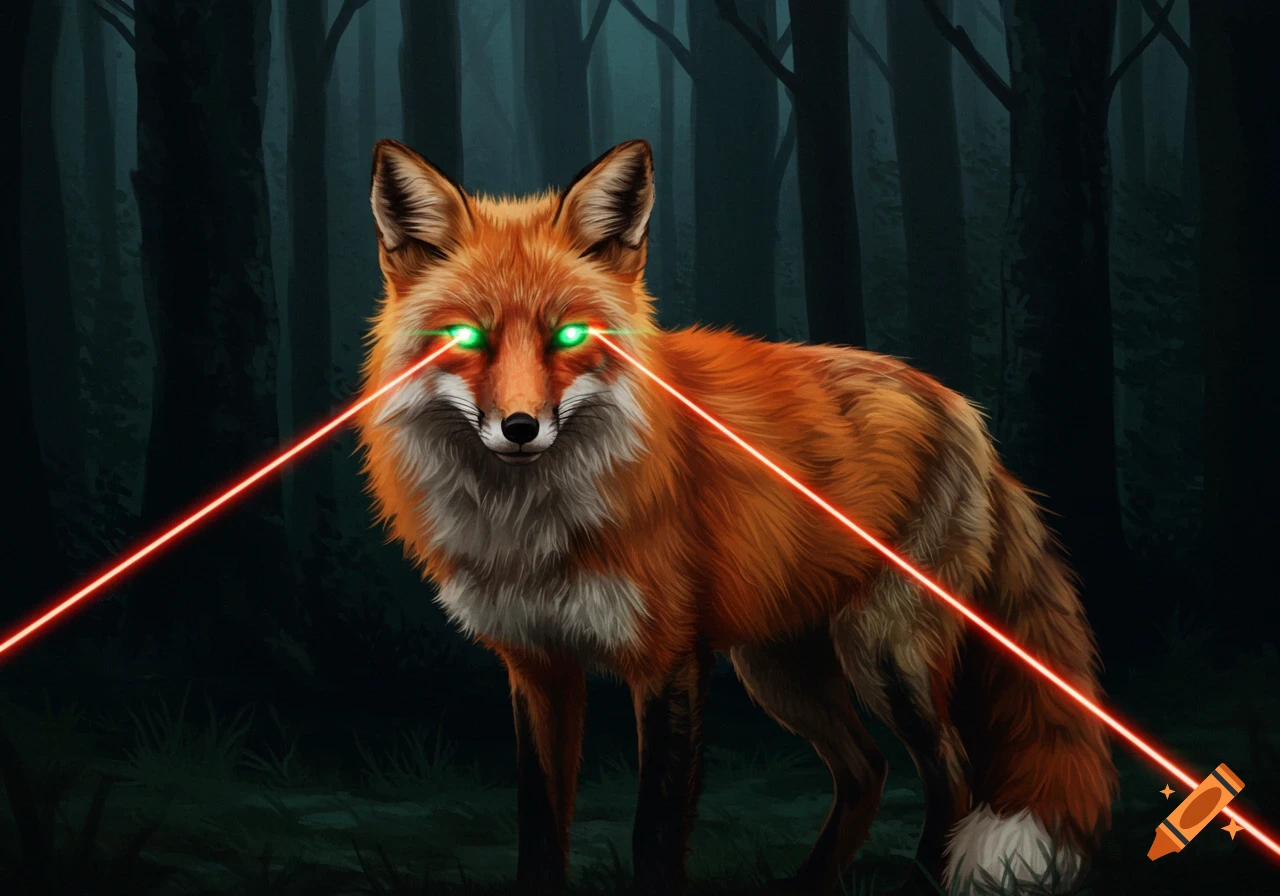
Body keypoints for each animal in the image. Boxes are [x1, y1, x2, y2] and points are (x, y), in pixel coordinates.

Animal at [355, 138, 1118, 895]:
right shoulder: (539, 666)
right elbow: (540, 830)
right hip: (780, 667)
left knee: (952, 773)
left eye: (569, 335)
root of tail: (965, 411)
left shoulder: (668, 659)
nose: (520, 428)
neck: (534, 528)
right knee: (867, 769)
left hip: (882, 653)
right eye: (466, 337)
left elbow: (656, 835)